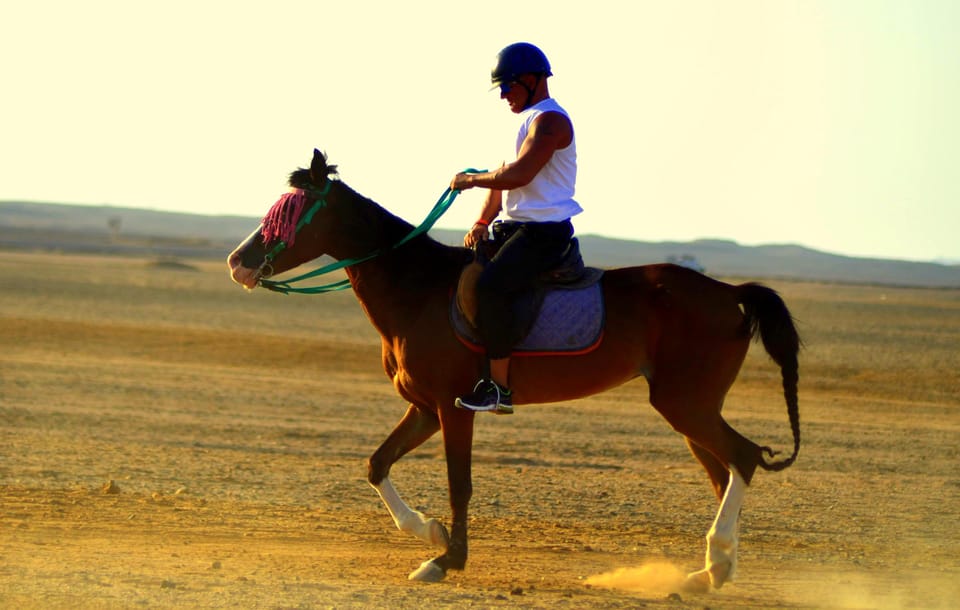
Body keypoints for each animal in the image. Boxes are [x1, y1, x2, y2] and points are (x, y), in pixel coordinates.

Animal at [227, 149, 801, 591]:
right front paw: (430, 532)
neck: (418, 289)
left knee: (743, 458)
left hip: (686, 404)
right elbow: (377, 464)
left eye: (291, 210)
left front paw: (445, 560)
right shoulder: (425, 409)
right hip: (690, 409)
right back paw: (712, 570)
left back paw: (716, 561)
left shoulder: (455, 407)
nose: (237, 262)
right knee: (724, 471)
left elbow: (460, 483)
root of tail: (728, 292)